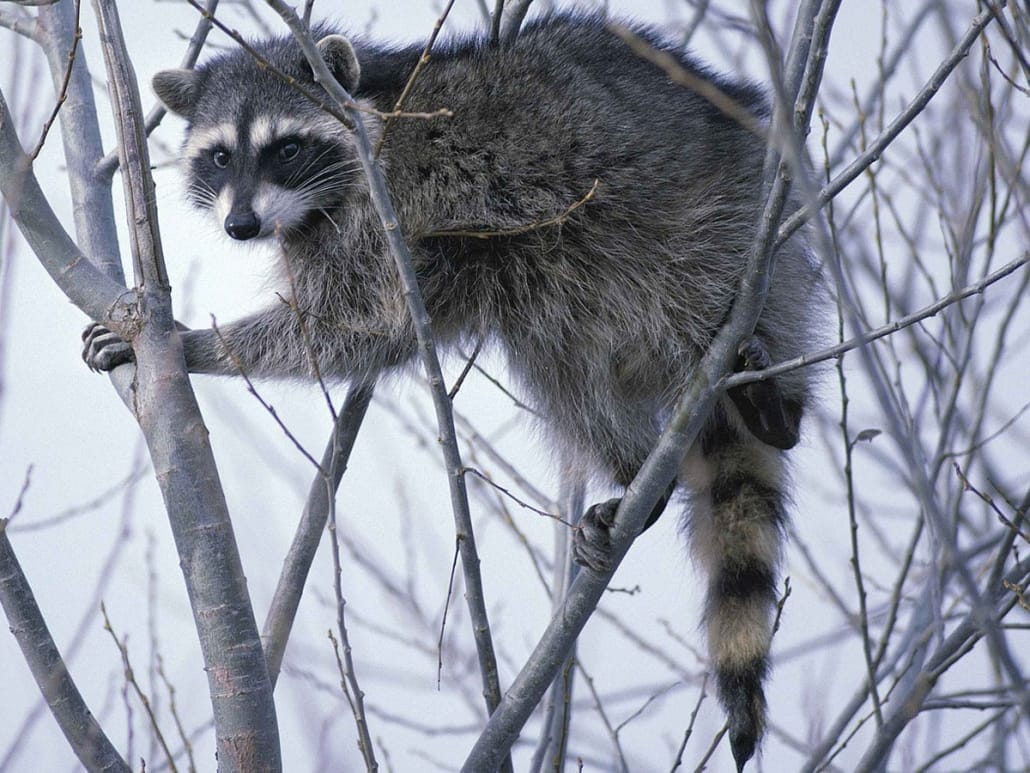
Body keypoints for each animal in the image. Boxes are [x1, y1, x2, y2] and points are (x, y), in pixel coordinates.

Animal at [83, 14, 824, 770]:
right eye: (220, 157)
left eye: (286, 148)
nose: (241, 226)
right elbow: (366, 334)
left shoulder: (390, 210)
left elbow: (353, 323)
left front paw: (193, 343)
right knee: (559, 361)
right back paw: (637, 469)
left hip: (718, 222)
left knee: (689, 292)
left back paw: (775, 404)